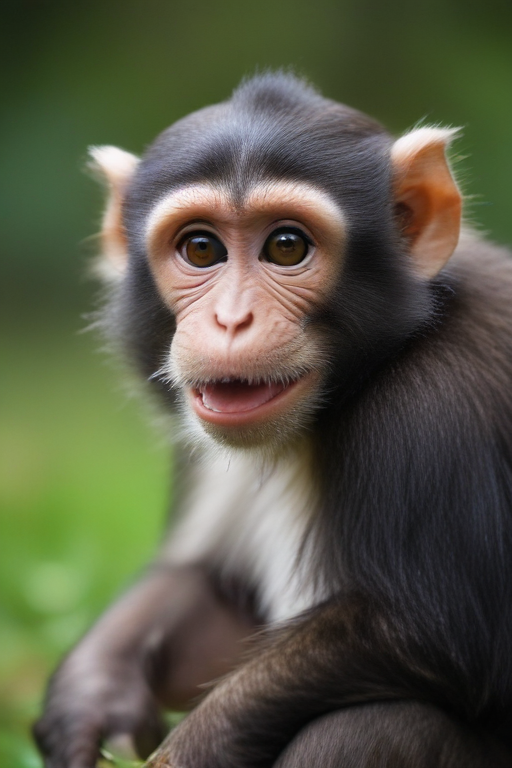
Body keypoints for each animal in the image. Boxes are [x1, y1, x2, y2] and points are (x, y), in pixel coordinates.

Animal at [34, 72, 512, 768]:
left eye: (287, 246)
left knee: (373, 724)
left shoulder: (437, 406)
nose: (232, 319)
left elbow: (433, 636)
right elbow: (209, 587)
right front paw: (91, 692)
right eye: (200, 247)